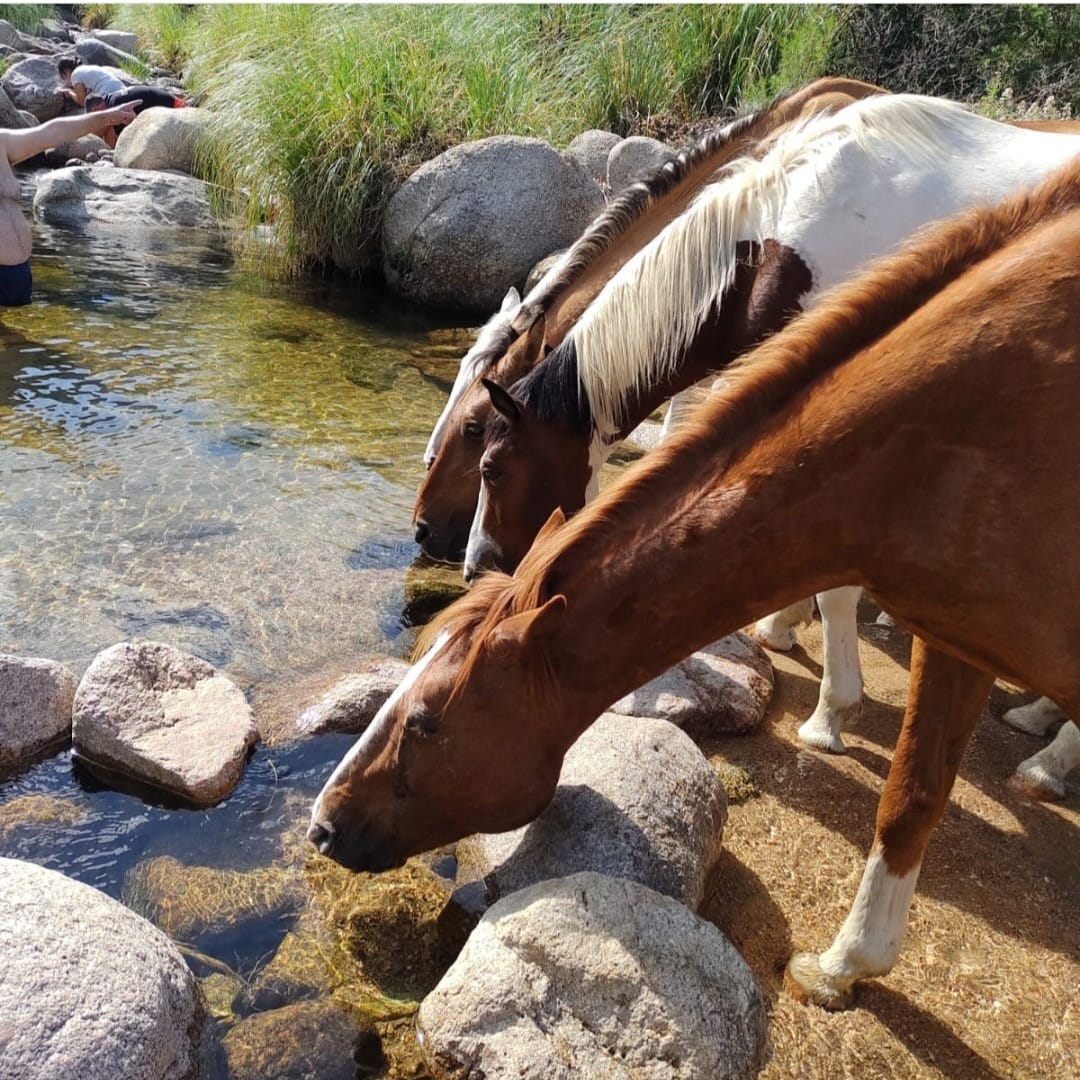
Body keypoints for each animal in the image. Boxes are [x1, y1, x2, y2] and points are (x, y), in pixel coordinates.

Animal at [461, 92, 1080, 764]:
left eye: (492, 468)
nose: (476, 567)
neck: (774, 253)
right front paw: (783, 625)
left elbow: (835, 585)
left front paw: (830, 714)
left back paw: (1052, 761)